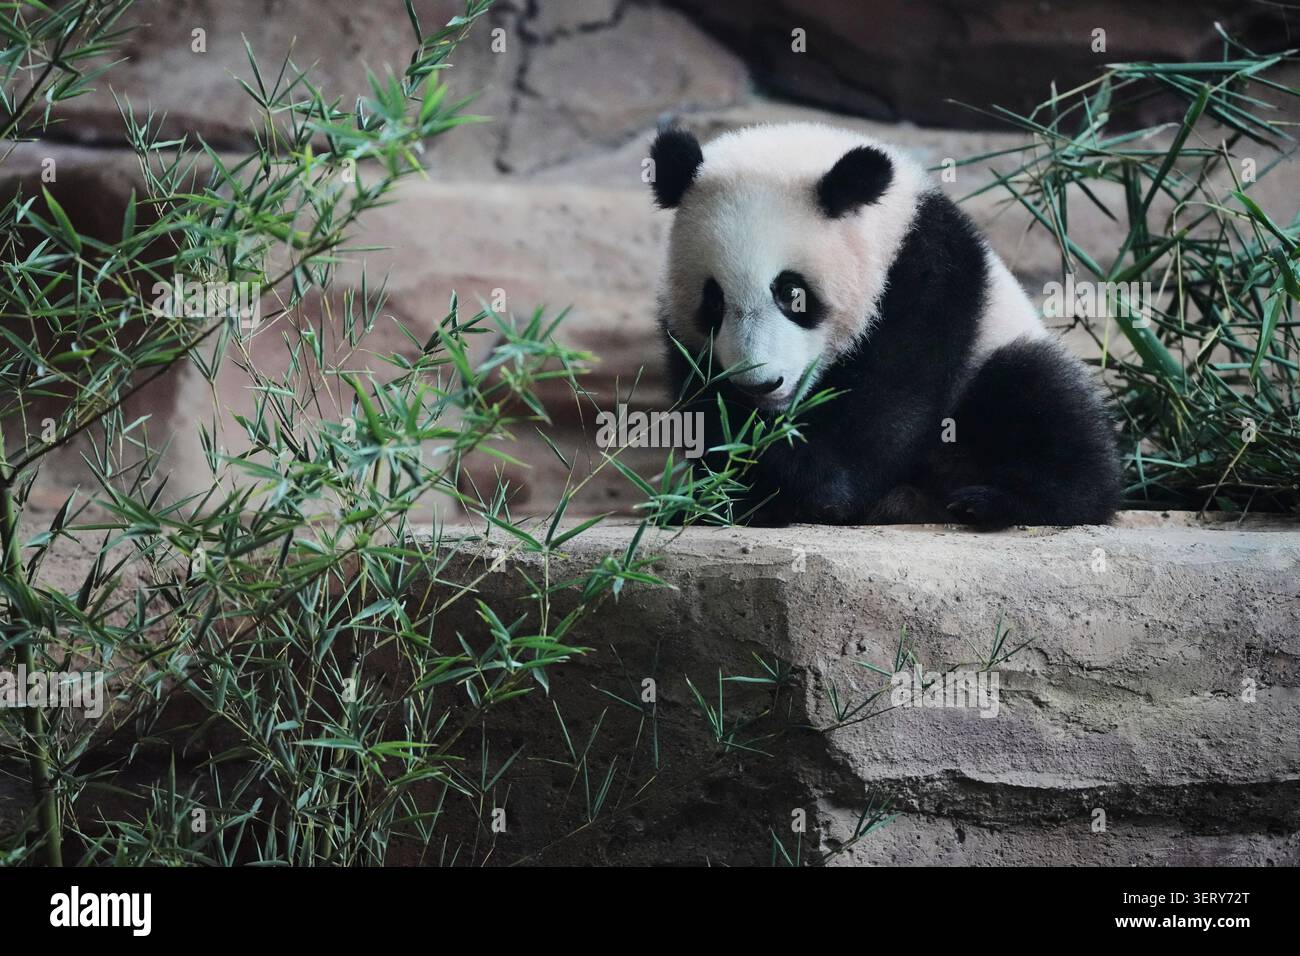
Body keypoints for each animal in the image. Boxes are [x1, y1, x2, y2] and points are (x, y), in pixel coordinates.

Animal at [648, 122, 1120, 528]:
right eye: (714, 301)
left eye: (792, 293)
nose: (761, 384)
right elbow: (703, 405)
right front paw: (726, 489)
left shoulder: (927, 274)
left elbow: (889, 403)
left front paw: (800, 481)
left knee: (1041, 397)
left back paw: (993, 501)